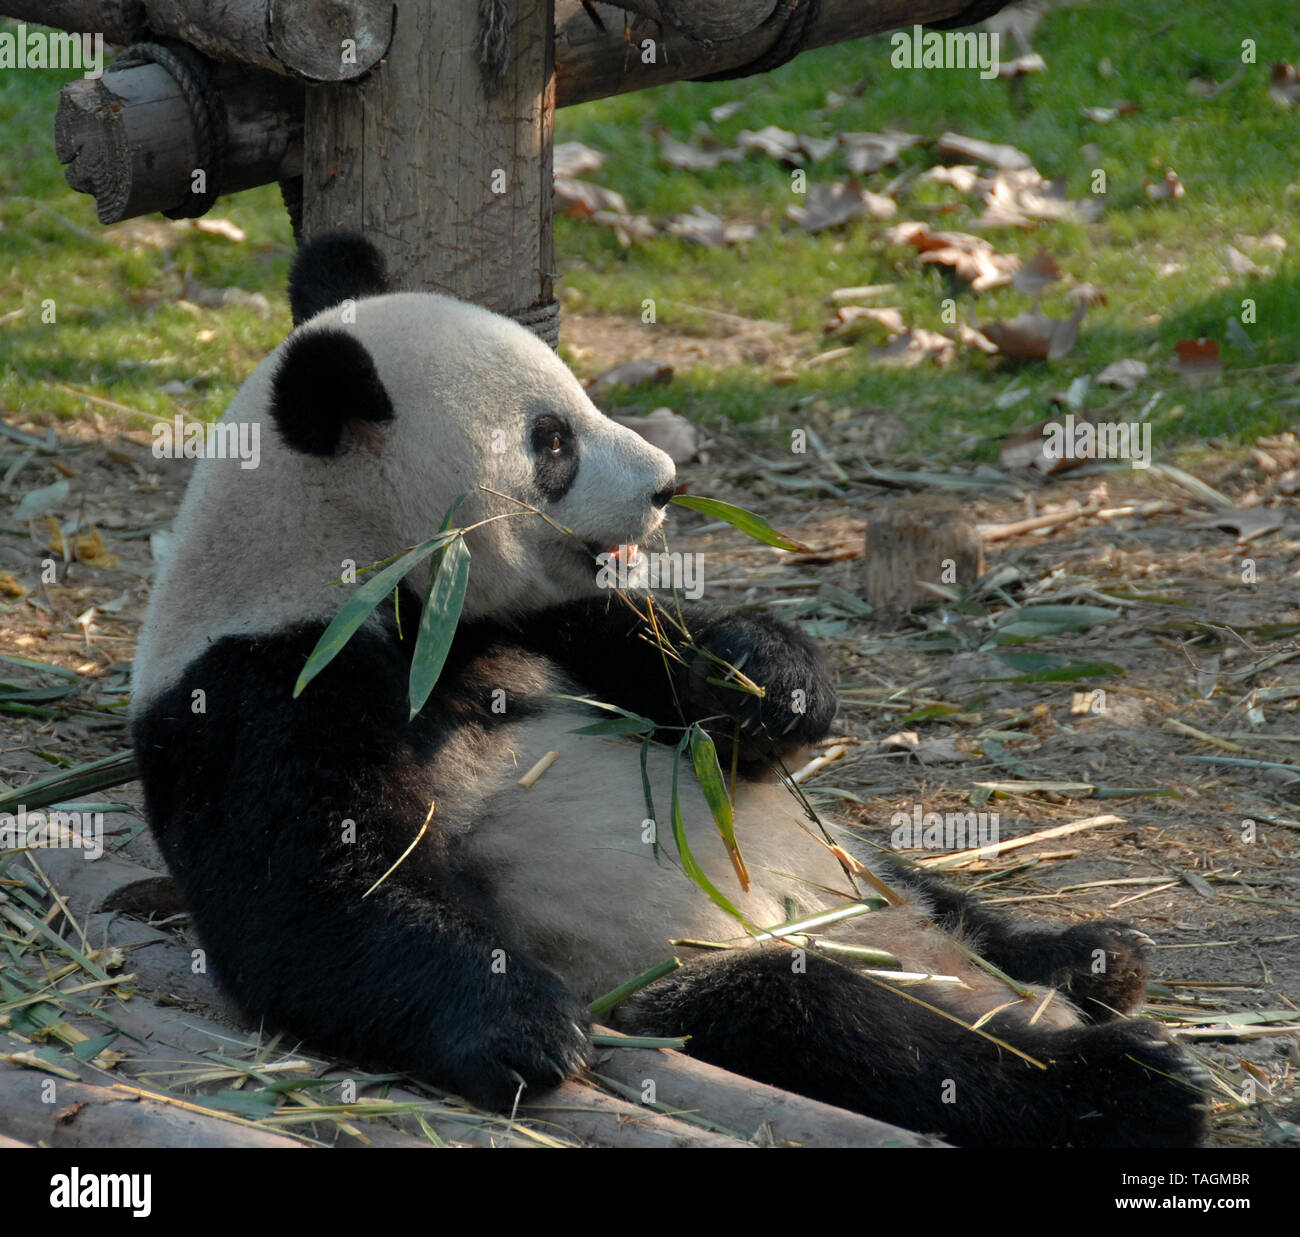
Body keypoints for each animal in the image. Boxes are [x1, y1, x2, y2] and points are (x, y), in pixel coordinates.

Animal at [130, 233, 1208, 1148]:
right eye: (551, 440)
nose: (666, 483)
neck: (338, 564)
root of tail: (908, 945)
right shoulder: (261, 688)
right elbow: (305, 896)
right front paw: (525, 1026)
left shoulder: (541, 622)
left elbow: (674, 673)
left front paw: (770, 679)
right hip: (696, 965)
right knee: (846, 1025)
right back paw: (1123, 1080)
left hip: (854, 865)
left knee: (944, 902)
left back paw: (1090, 956)